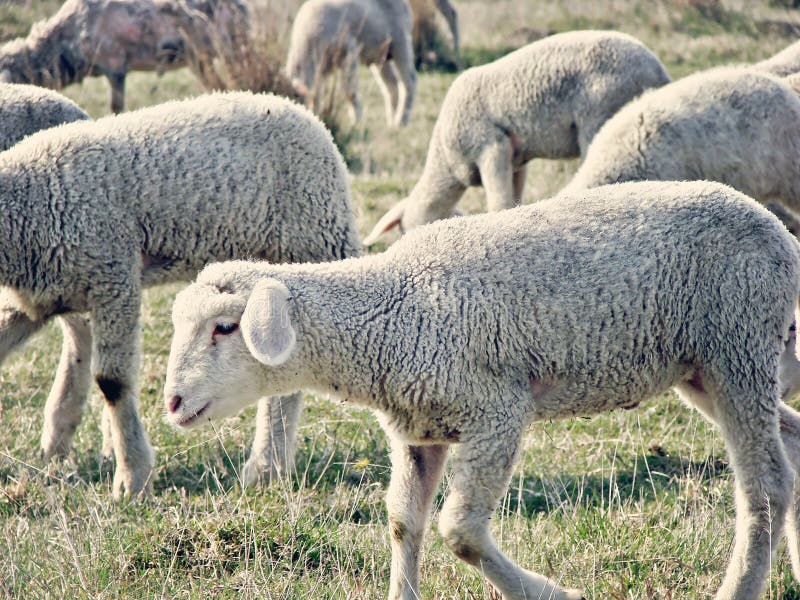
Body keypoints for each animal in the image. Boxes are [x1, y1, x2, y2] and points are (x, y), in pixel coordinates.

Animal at [0, 91, 360, 498]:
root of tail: (305, 116)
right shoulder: (36, 299)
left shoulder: (114, 279)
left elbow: (113, 381)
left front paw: (132, 478)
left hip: (313, 239)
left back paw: (266, 467)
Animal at [164, 179, 800, 600]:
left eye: (225, 328)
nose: (171, 403)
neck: (391, 312)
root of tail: (779, 235)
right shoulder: (419, 432)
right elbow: (404, 522)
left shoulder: (497, 412)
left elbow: (461, 531)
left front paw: (549, 593)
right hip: (706, 370)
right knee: (790, 453)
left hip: (738, 345)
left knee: (766, 488)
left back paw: (738, 588)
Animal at [285, 0, 417, 127]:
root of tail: (405, 4)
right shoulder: (320, 69)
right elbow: (316, 96)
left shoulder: (349, 50)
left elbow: (349, 91)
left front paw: (357, 121)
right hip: (380, 53)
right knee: (392, 83)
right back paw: (391, 123)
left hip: (400, 40)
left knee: (410, 81)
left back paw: (401, 121)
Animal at [363, 30, 670, 246]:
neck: (445, 162)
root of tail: (658, 72)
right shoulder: (516, 161)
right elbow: (514, 198)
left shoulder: (491, 146)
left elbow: (498, 202)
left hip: (599, 113)